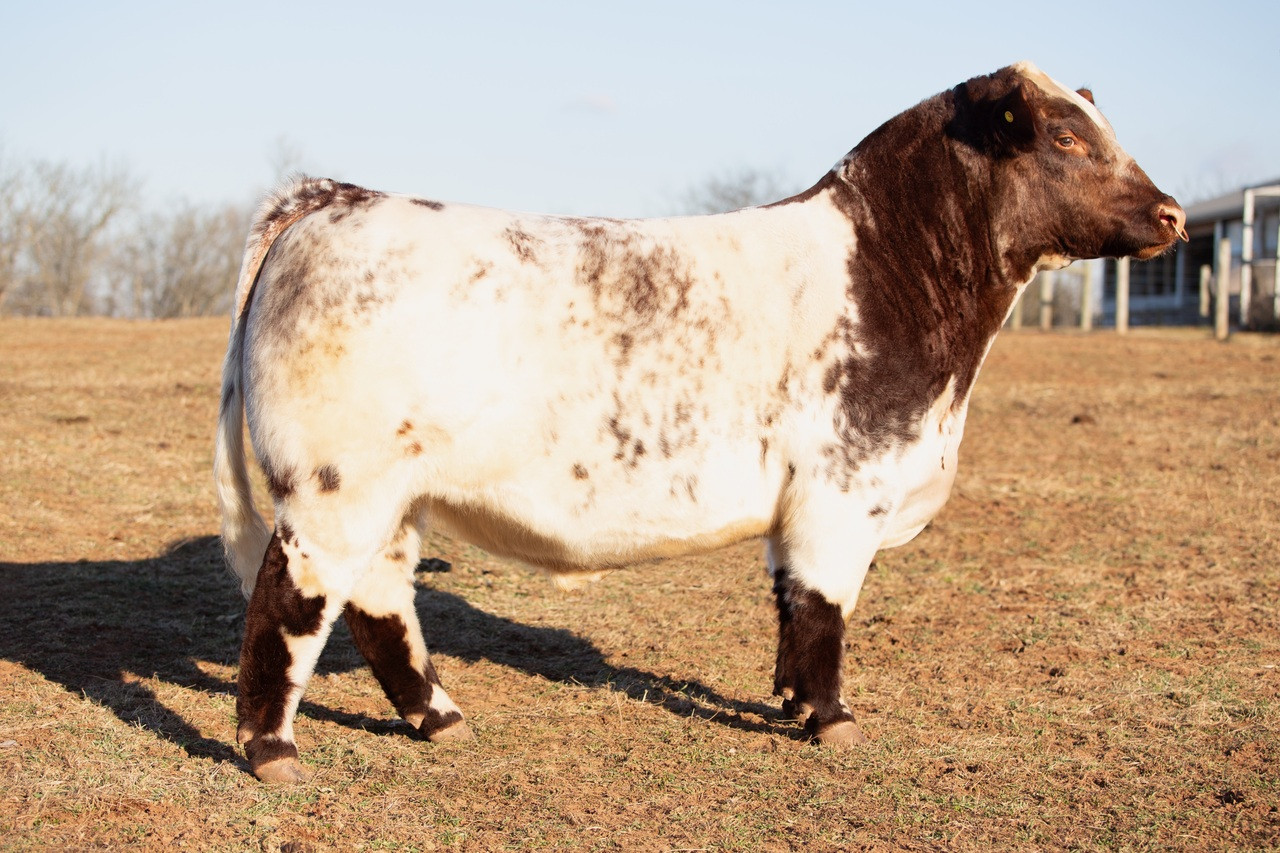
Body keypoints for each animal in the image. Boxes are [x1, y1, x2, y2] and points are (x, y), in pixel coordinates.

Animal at [214, 62, 1186, 782]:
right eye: (1064, 137)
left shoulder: (803, 505)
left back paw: (440, 718)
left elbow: (792, 604)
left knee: (380, 603)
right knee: (290, 600)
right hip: (334, 488)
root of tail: (339, 196)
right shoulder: (843, 487)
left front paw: (791, 702)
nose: (1172, 212)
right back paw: (271, 750)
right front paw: (834, 719)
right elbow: (827, 608)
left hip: (392, 495)